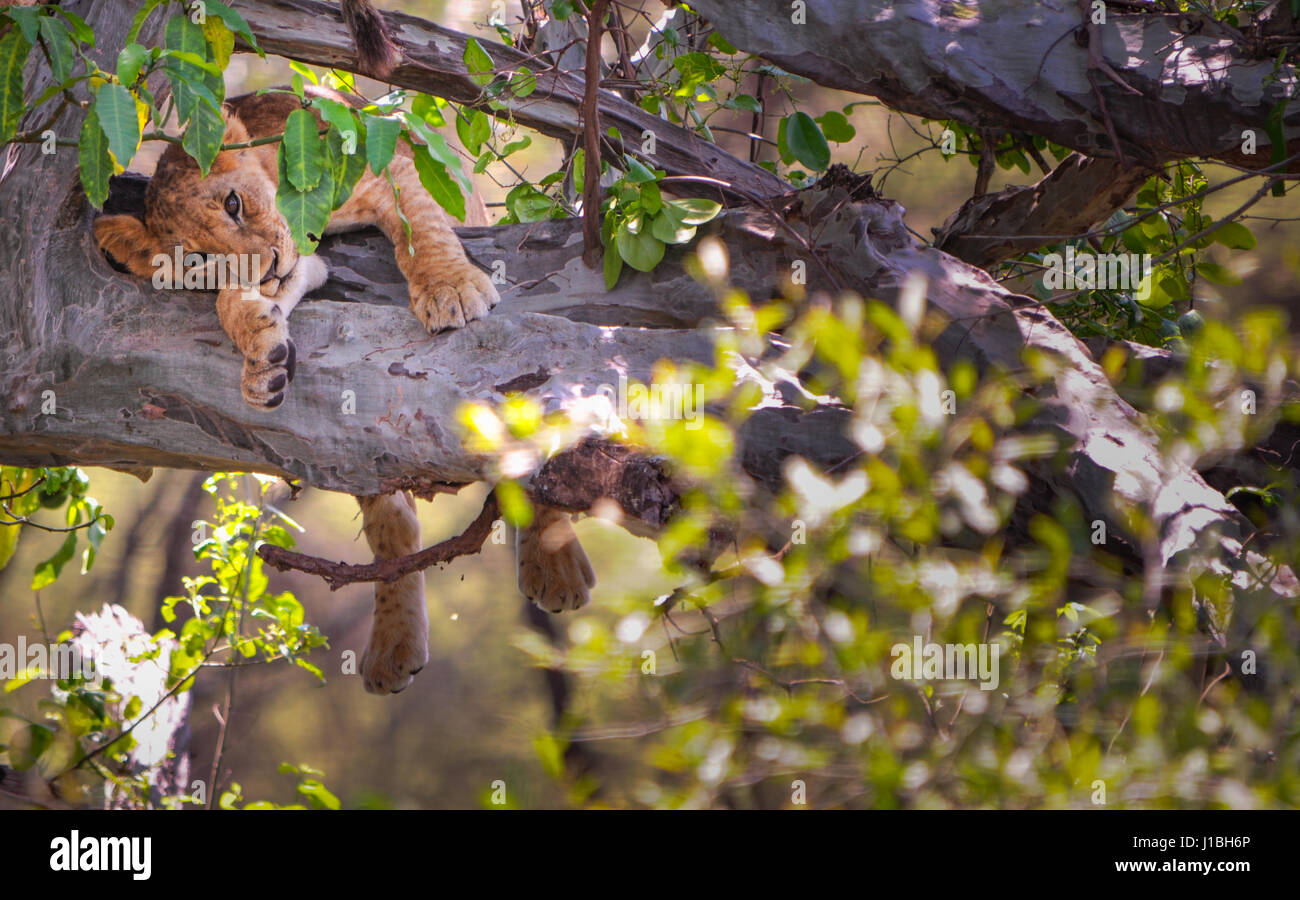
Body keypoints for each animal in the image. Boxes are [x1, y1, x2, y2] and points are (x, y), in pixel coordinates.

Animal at [92, 84, 595, 695]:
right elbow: (233, 302)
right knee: (394, 525)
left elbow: (419, 227)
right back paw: (394, 647)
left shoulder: (390, 163)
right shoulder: (302, 265)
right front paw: (262, 361)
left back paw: (555, 567)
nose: (270, 268)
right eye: (198, 259)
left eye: (234, 203)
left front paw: (449, 288)